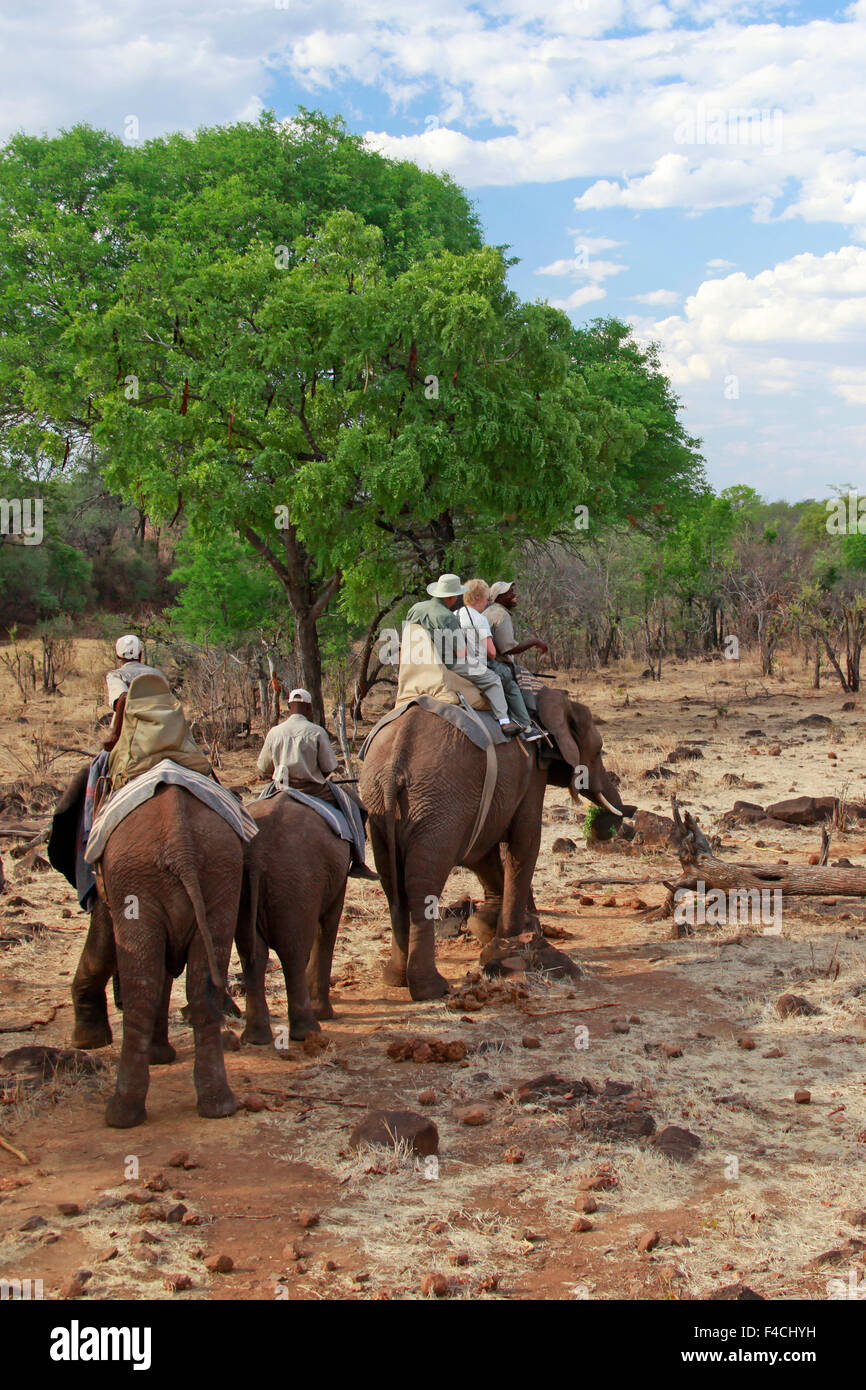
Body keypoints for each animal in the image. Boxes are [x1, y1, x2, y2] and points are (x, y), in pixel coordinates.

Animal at [97, 785, 243, 1128]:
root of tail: (181, 846)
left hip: (133, 881)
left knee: (141, 989)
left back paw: (121, 1115)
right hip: (223, 872)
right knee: (204, 988)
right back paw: (219, 1106)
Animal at [235, 793, 350, 1046]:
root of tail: (257, 854)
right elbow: (328, 925)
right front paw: (323, 1013)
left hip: (248, 888)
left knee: (252, 954)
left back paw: (255, 1038)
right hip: (296, 881)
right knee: (293, 950)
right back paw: (309, 1031)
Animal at [358, 685, 635, 1000]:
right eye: (598, 750)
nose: (618, 817)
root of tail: (394, 763)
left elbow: (480, 854)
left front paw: (488, 930)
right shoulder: (531, 773)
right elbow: (525, 842)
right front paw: (515, 936)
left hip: (379, 802)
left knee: (392, 885)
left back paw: (395, 979)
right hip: (437, 802)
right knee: (422, 884)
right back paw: (431, 989)